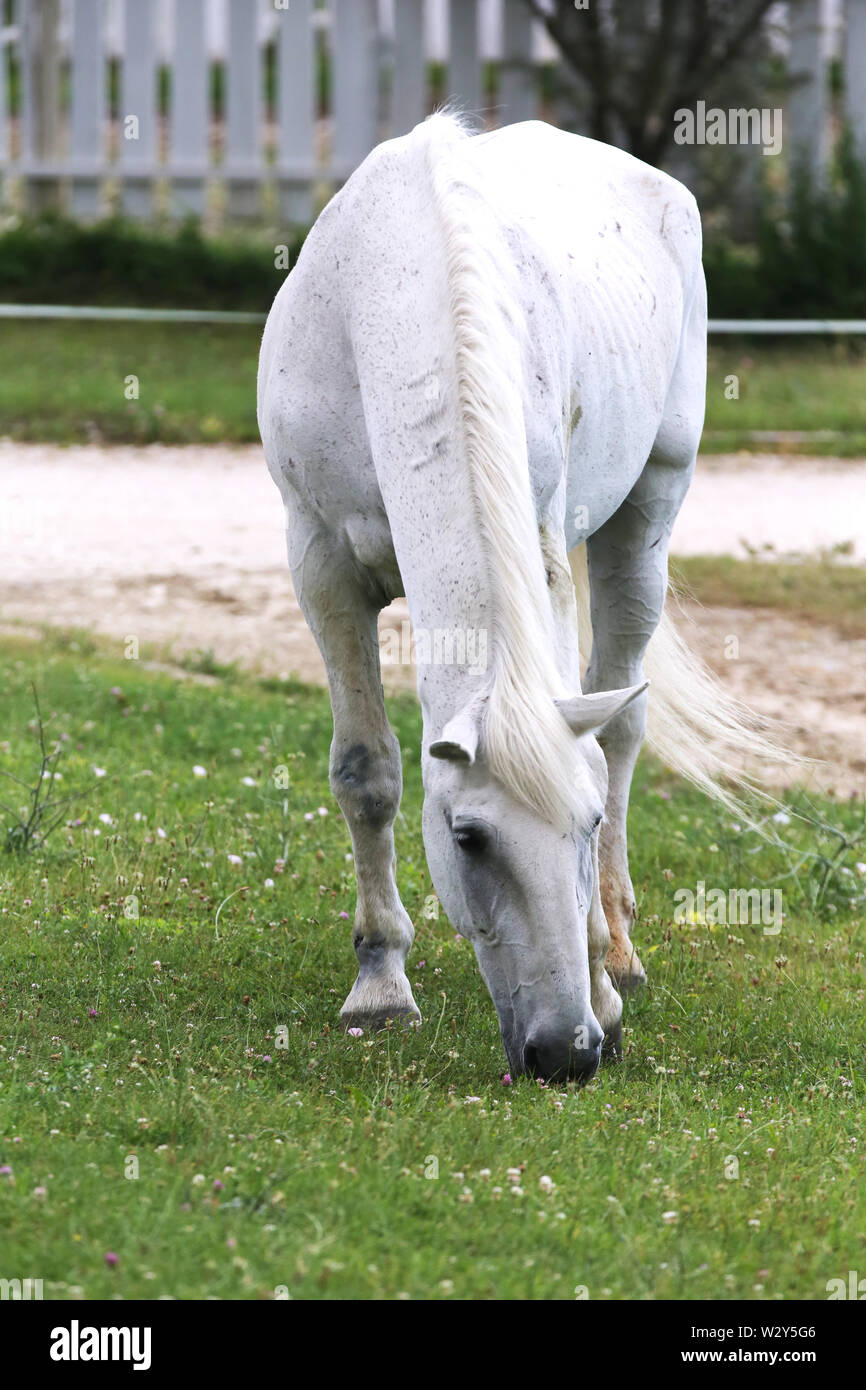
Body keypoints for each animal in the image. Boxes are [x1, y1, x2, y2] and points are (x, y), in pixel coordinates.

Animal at [257, 112, 779, 1083]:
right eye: (468, 838)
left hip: (647, 519)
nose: (567, 1051)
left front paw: (604, 984)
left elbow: (594, 752)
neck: (396, 289)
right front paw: (380, 984)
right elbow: (366, 772)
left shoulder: (541, 553)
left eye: (582, 825)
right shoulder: (320, 565)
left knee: (621, 725)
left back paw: (620, 952)